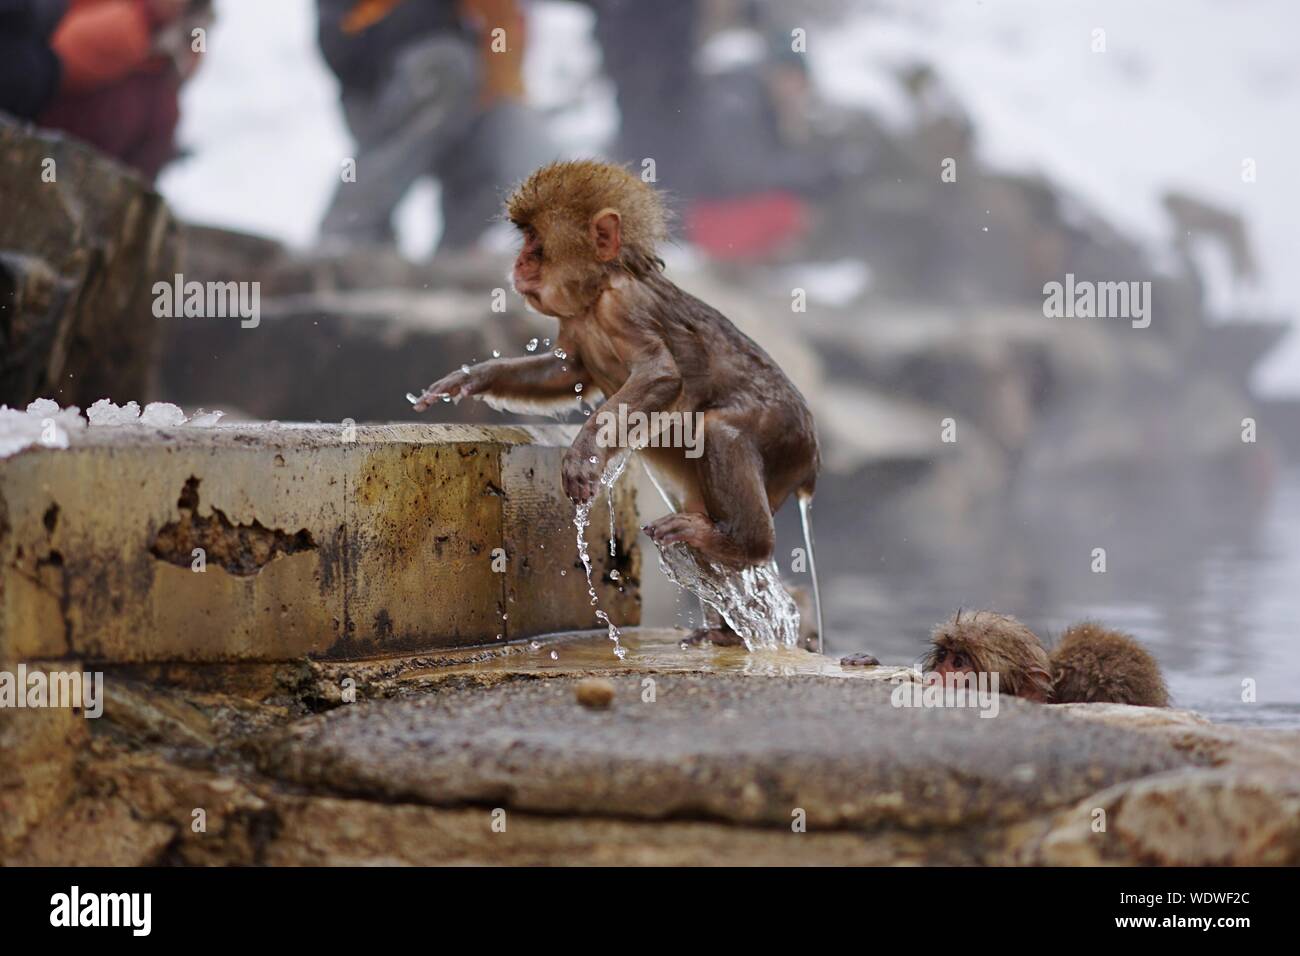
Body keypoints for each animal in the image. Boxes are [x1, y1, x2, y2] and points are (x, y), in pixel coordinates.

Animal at [411, 160, 821, 645]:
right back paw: (726, 627)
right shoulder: (577, 324)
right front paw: (472, 378)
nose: (520, 261)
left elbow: (661, 374)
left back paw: (744, 544)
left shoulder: (624, 307)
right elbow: (566, 372)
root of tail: (811, 461)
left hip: (784, 433)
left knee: (720, 431)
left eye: (534, 240)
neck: (597, 294)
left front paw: (582, 457)